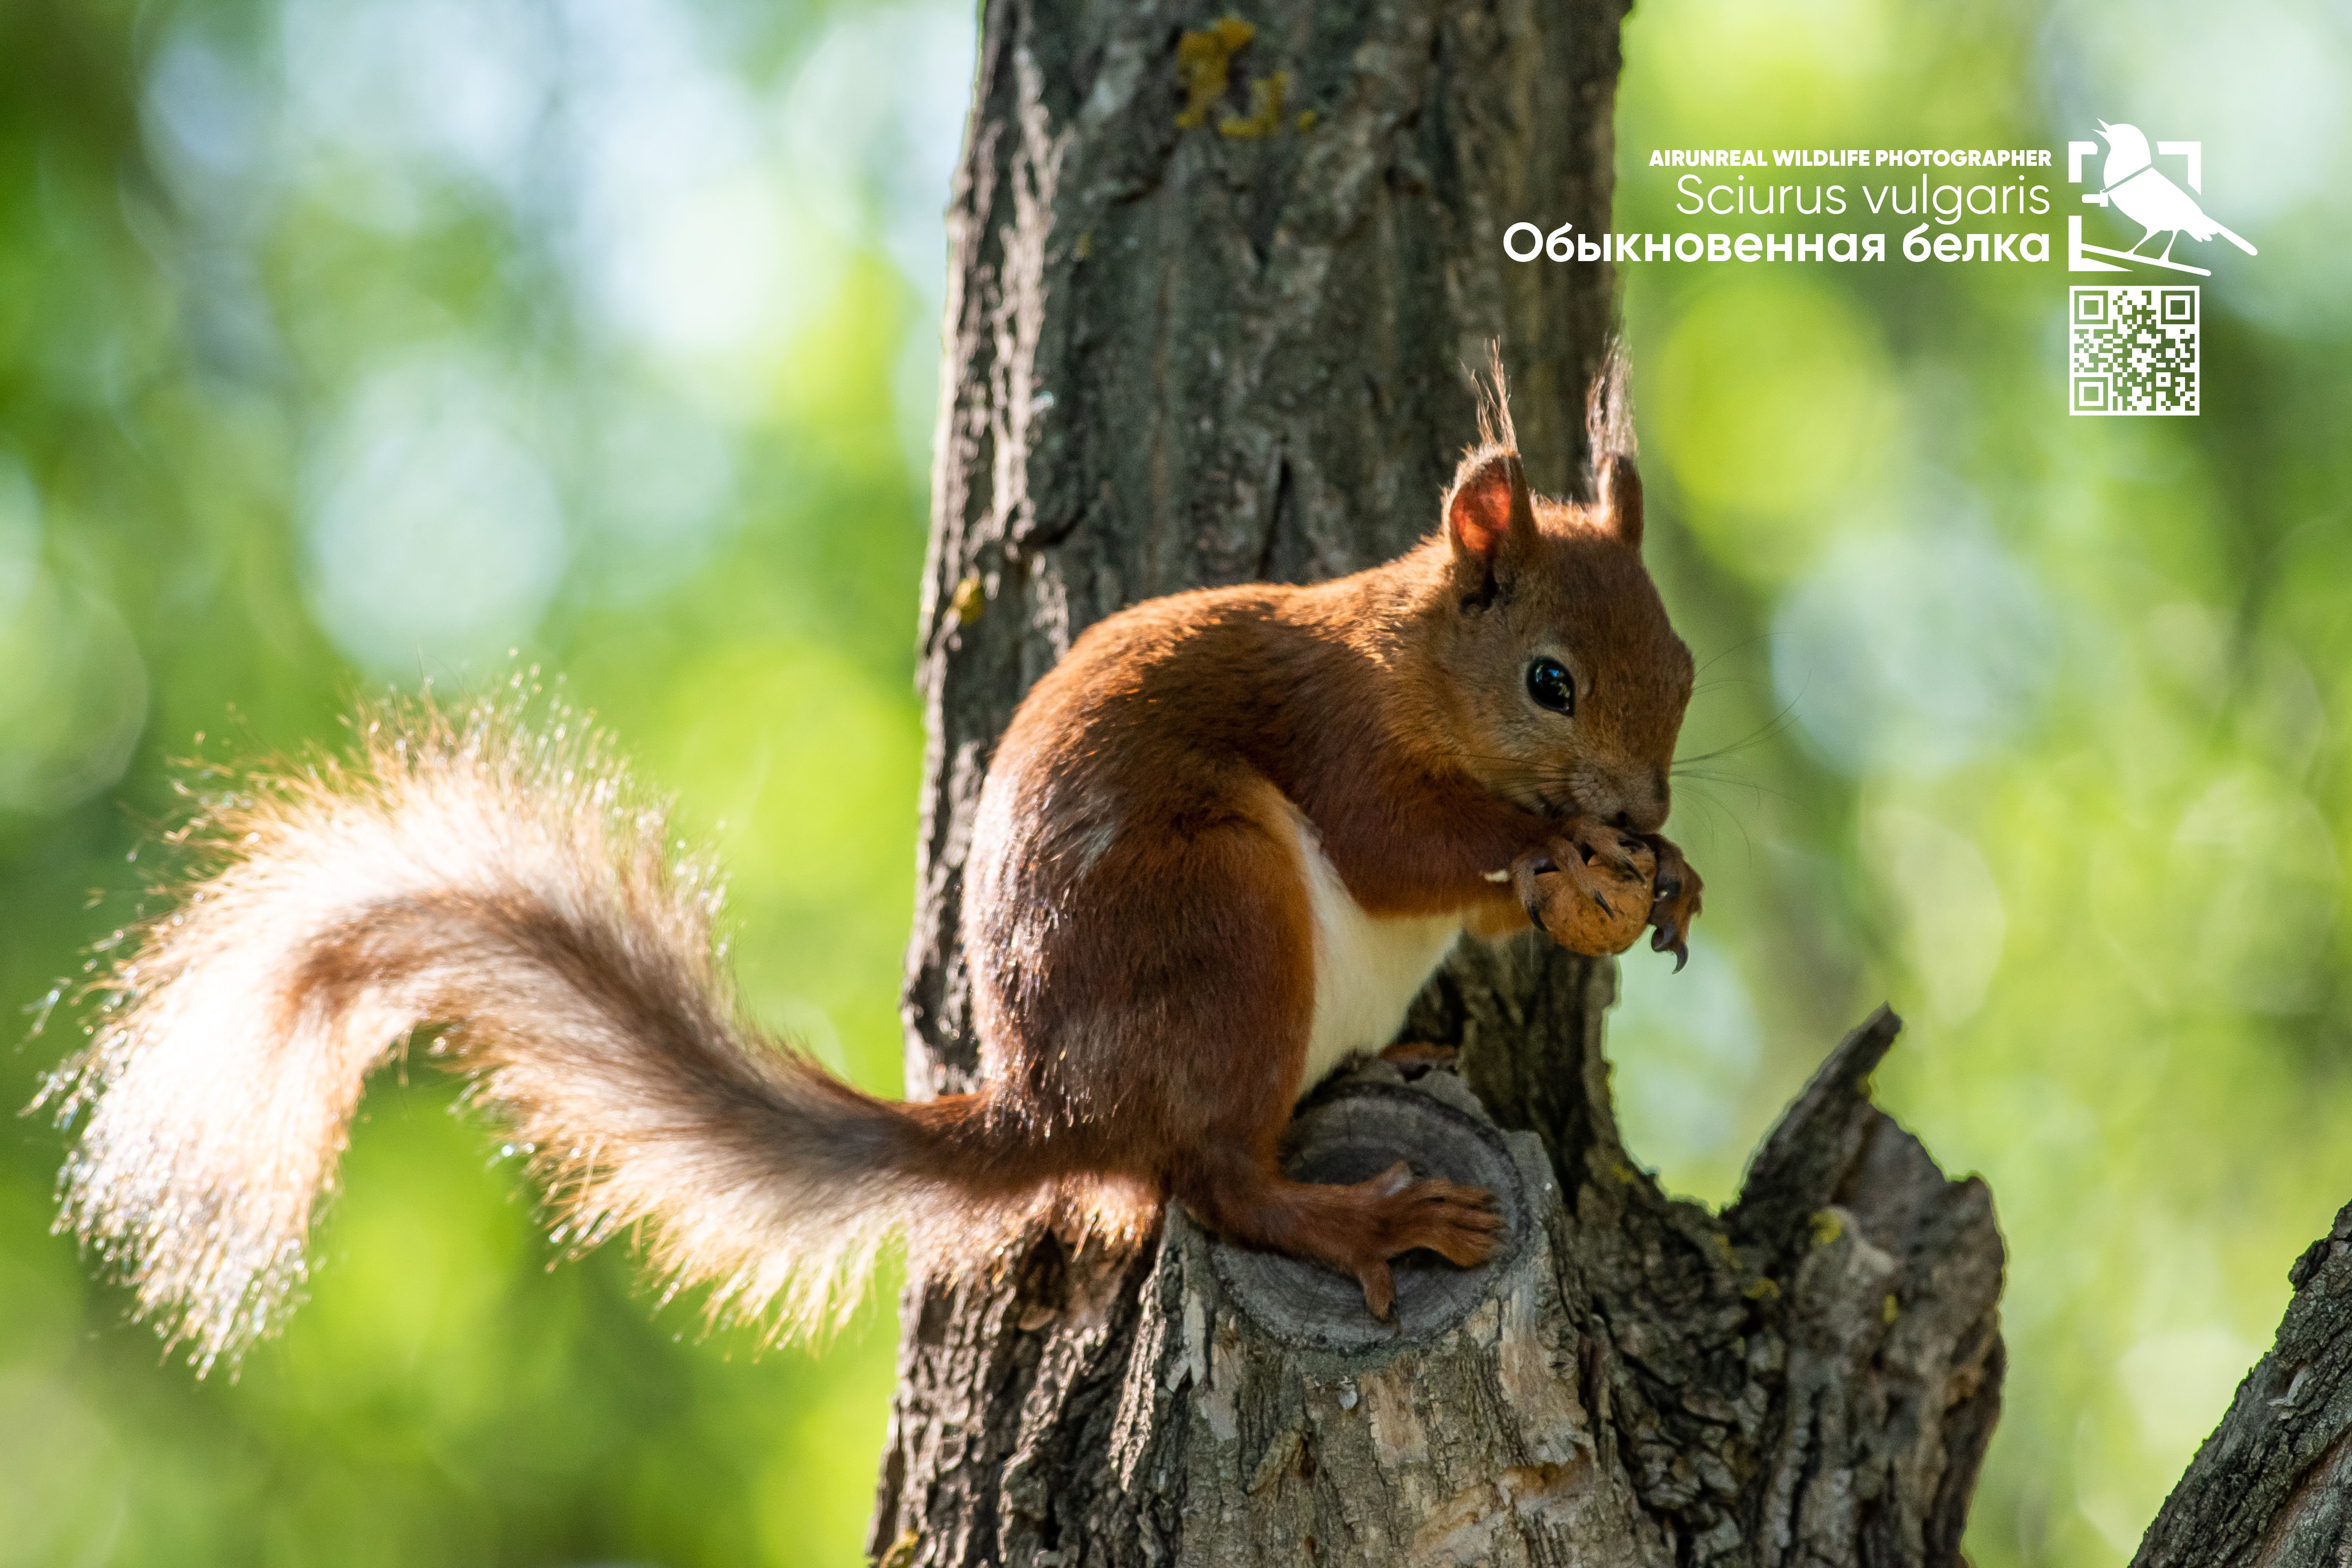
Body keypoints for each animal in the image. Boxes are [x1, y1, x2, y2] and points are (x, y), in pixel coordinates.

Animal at [32, 352, 1693, 1363]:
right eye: (1549, 680)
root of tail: (1057, 1104)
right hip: (1218, 914)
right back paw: (1367, 1213)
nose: (1639, 802)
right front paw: (1555, 847)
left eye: (1678, 665)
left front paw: (1662, 878)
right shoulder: (1336, 734)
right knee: (1217, 1182)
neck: (1410, 654)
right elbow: (1400, 841)